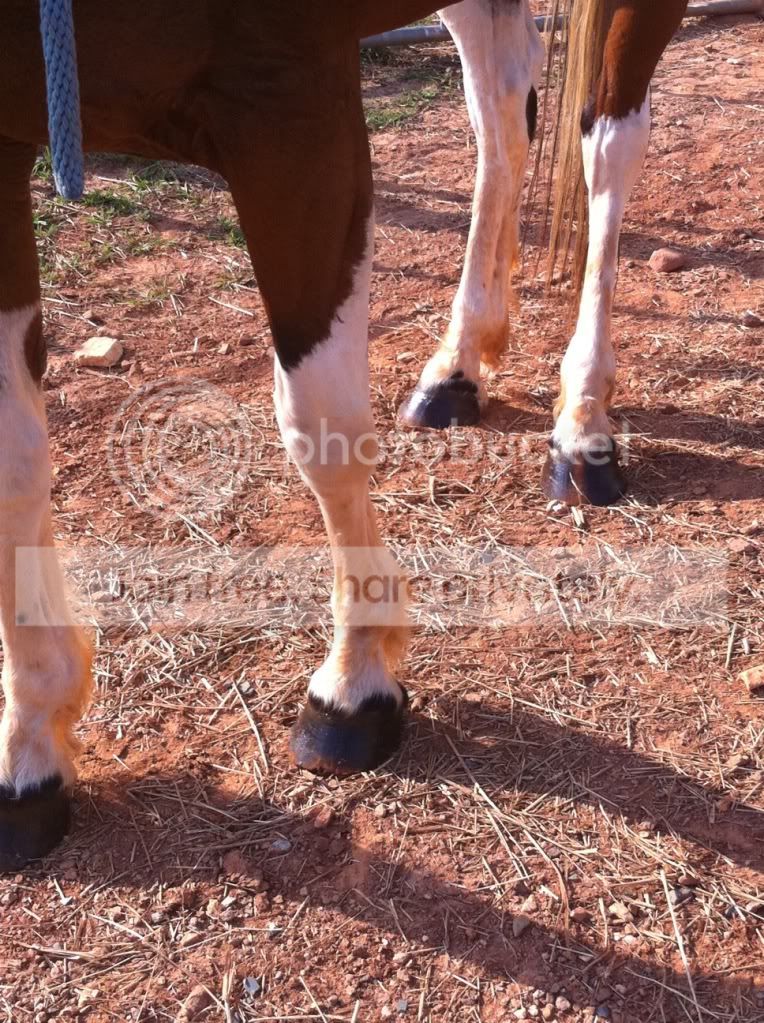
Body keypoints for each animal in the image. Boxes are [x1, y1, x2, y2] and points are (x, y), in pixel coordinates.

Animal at [0, 0, 692, 868]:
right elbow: (11, 465)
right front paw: (29, 748)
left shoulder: (289, 105)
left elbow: (317, 422)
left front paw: (354, 685)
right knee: (500, 108)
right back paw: (458, 364)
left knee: (607, 142)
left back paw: (582, 425)